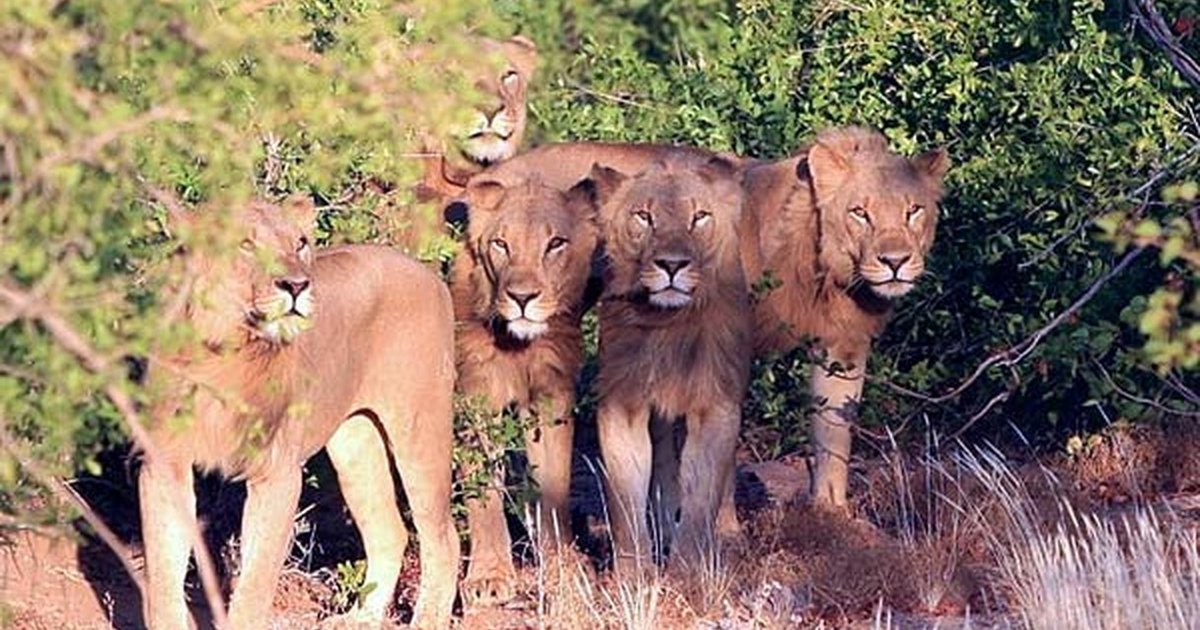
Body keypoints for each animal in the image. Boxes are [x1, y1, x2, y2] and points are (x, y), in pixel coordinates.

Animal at [140, 197, 459, 629]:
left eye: (301, 243)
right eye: (245, 244)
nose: (296, 286)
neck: (226, 351)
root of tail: (428, 272)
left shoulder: (277, 475)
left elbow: (255, 586)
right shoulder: (163, 463)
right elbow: (162, 576)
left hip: (421, 429)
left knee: (443, 537)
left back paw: (425, 620)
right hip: (355, 443)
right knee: (390, 531)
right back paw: (358, 619)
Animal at [449, 176, 600, 606]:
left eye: (555, 244)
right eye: (501, 244)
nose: (522, 298)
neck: (518, 346)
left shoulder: (550, 398)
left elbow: (553, 486)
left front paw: (564, 570)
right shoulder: (475, 396)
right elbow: (483, 494)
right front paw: (489, 578)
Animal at [588, 156, 751, 573]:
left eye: (700, 217)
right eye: (644, 217)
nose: (672, 265)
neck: (667, 324)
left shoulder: (715, 406)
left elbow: (702, 495)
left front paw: (687, 571)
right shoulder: (621, 404)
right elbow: (626, 499)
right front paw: (634, 574)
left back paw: (726, 533)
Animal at [742, 126, 949, 508]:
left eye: (913, 210)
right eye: (860, 213)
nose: (895, 262)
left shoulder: (842, 345)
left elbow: (834, 436)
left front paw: (831, 511)